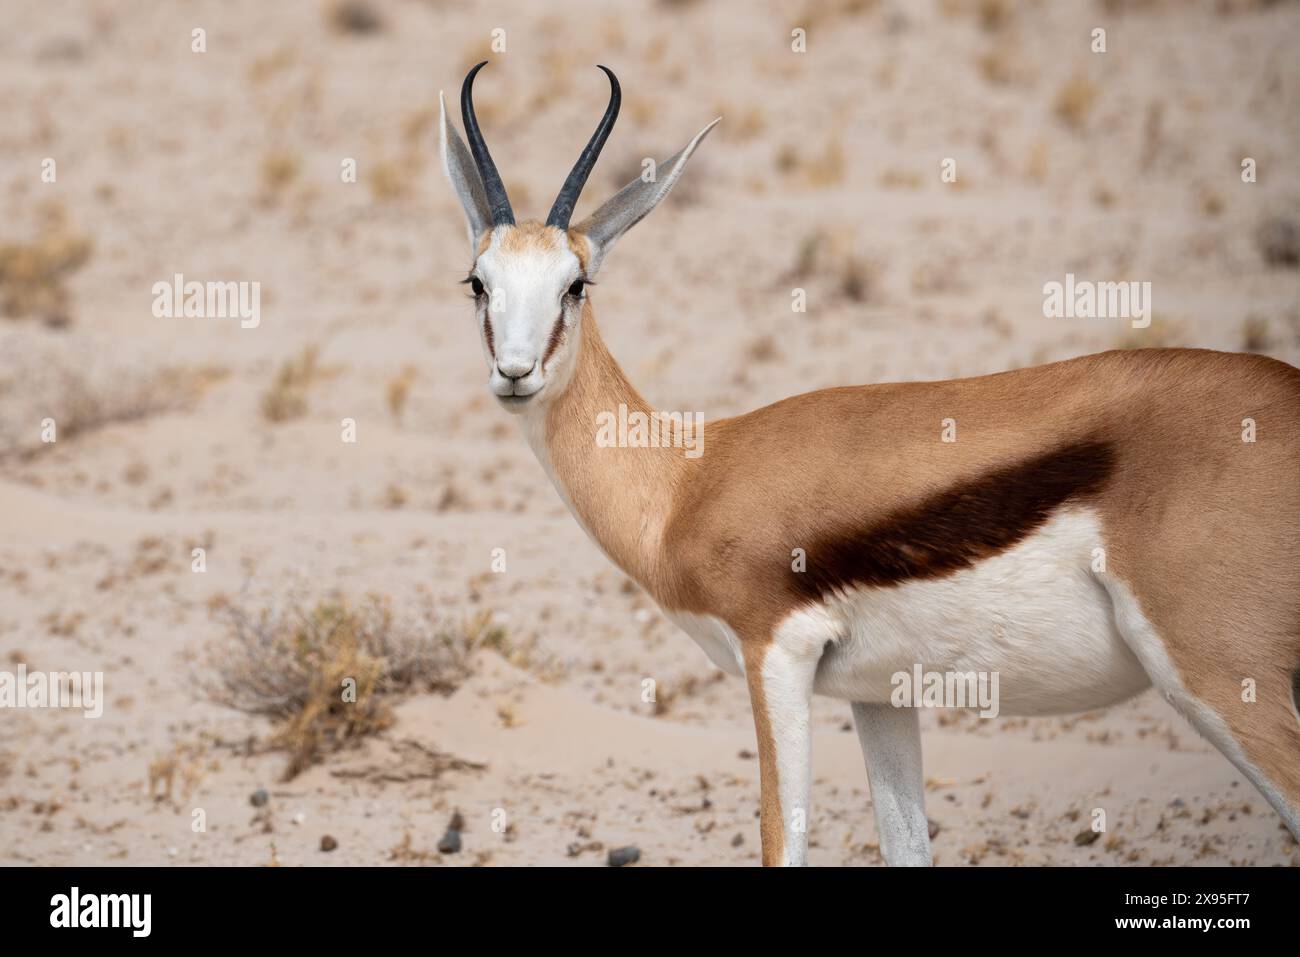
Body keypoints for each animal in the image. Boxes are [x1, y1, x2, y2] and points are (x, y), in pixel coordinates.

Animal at [440, 61, 1300, 866]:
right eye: (477, 281)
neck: (688, 480)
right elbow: (905, 845)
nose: (515, 372)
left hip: (1222, 677)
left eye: (576, 284)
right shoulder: (880, 694)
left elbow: (782, 843)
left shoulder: (776, 657)